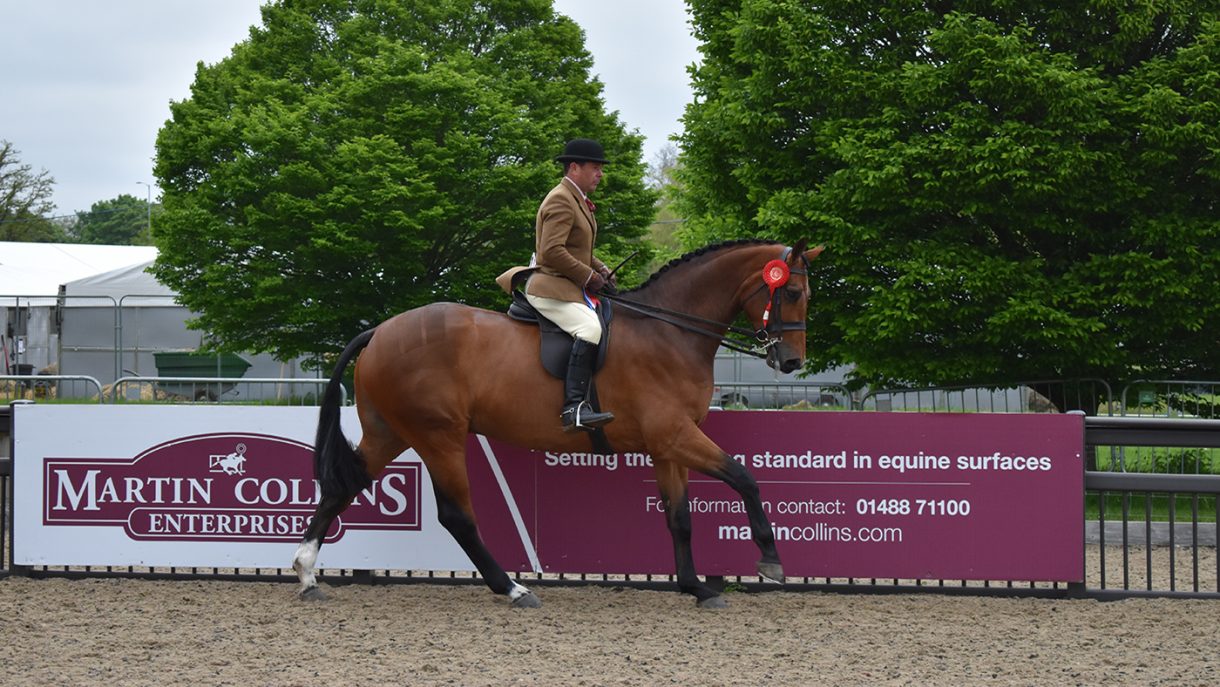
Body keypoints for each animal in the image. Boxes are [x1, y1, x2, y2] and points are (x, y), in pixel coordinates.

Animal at [293, 239, 824, 608]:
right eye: (793, 291)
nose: (792, 361)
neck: (668, 331)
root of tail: (380, 330)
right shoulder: (676, 435)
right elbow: (744, 477)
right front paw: (770, 560)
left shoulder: (666, 445)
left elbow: (680, 518)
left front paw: (696, 587)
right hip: (438, 436)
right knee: (456, 516)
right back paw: (513, 589)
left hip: (391, 433)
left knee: (343, 486)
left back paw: (307, 574)